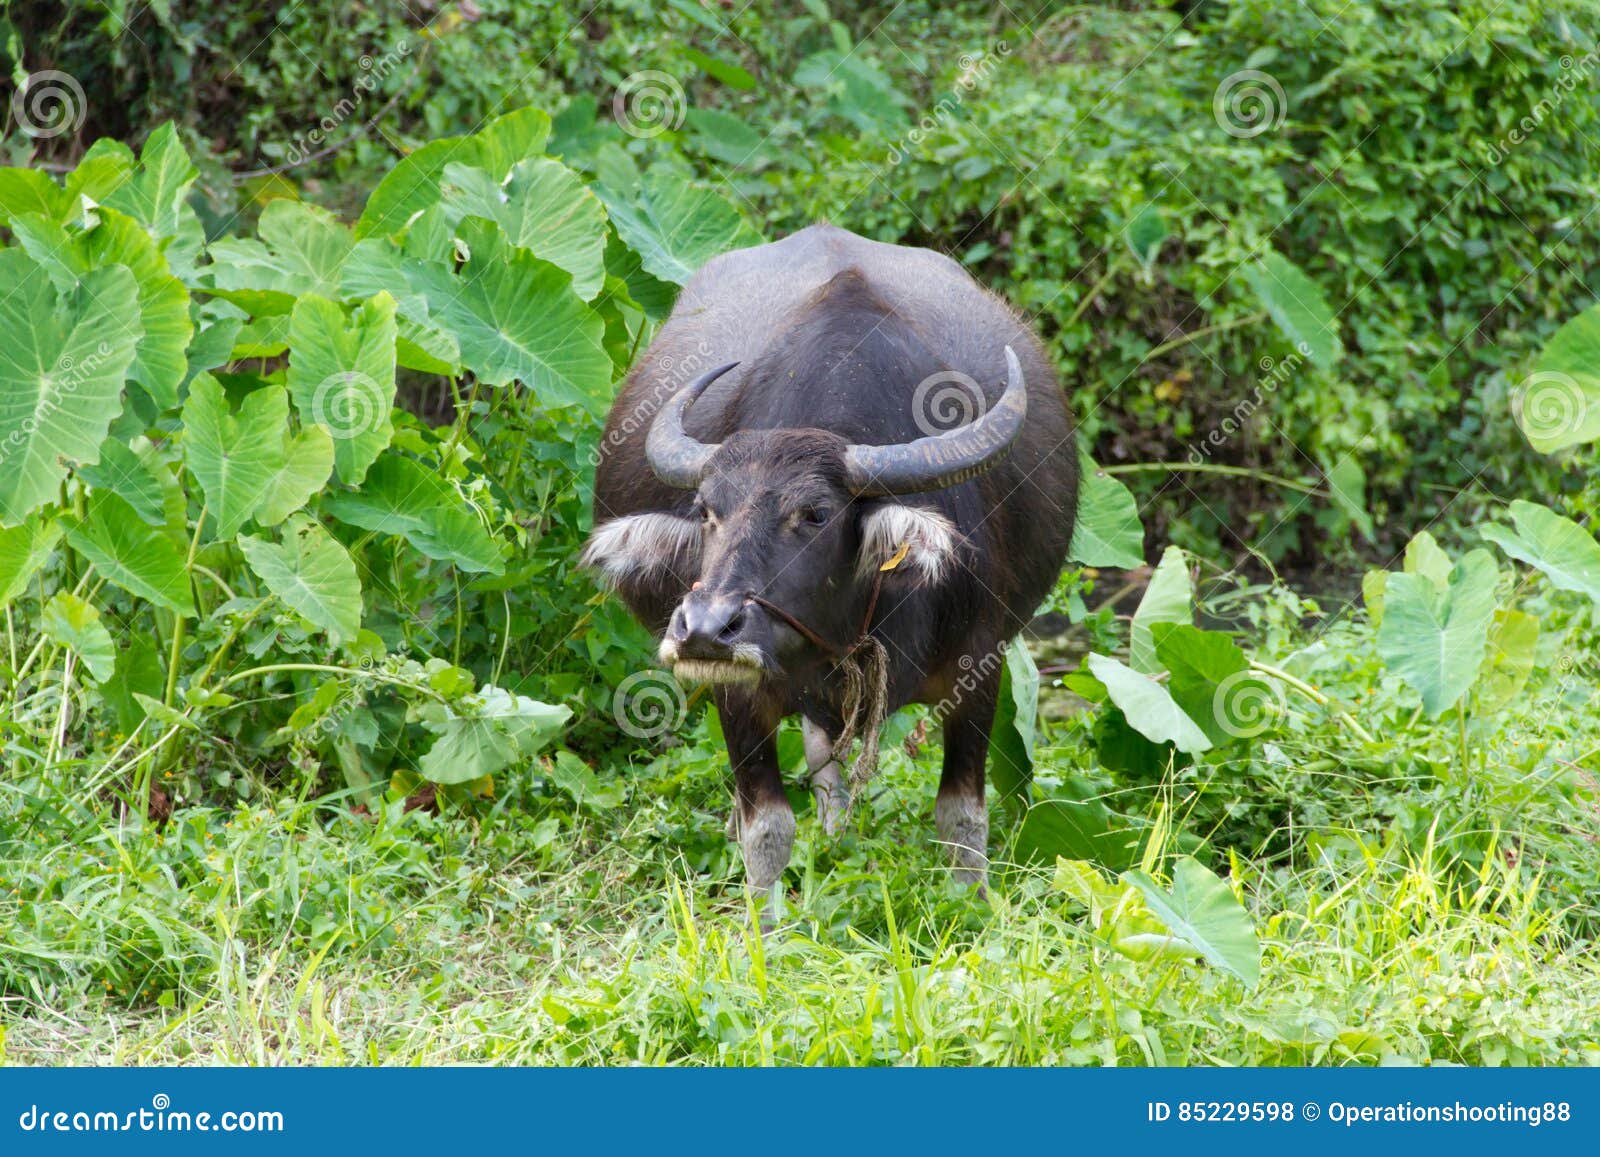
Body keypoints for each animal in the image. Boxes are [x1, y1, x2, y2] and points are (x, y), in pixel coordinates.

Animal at [582, 223, 1077, 912]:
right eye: (707, 511)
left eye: (815, 513)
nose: (705, 629)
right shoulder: (740, 691)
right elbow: (767, 826)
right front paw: (764, 922)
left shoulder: (981, 666)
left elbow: (961, 814)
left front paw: (972, 904)